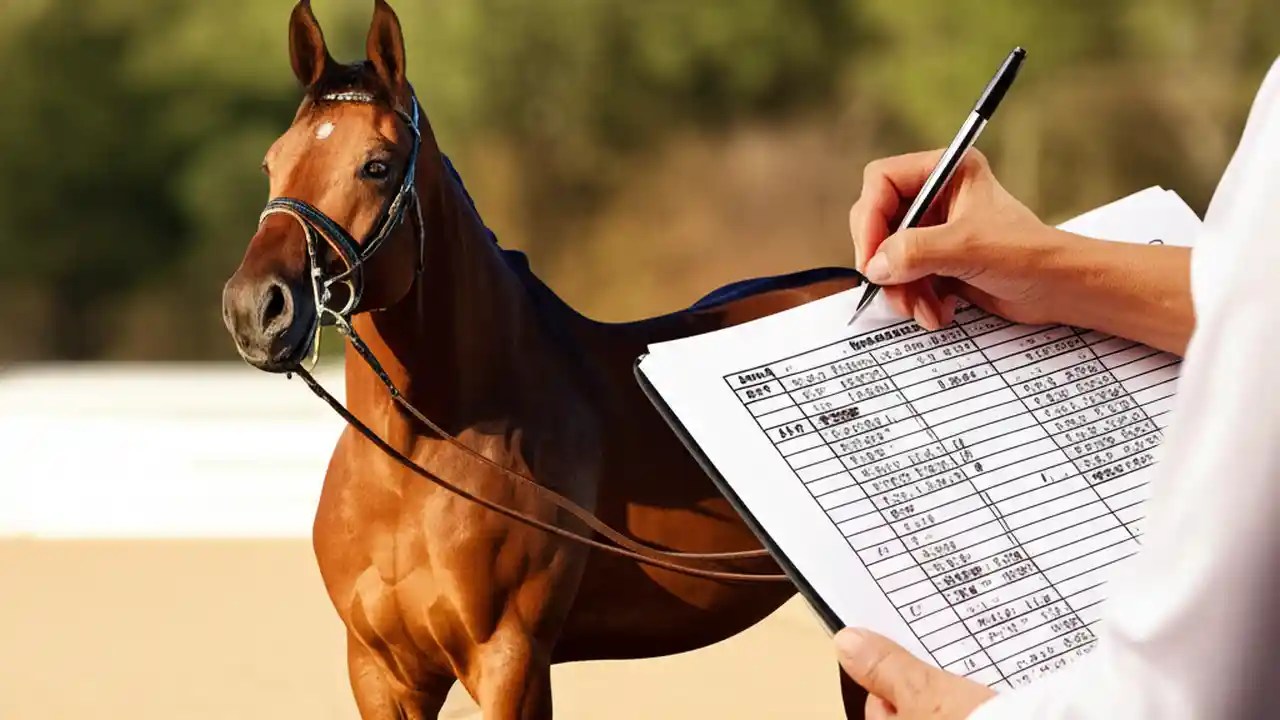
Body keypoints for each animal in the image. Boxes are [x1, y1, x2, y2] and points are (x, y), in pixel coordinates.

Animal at [221, 2, 868, 717]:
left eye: (377, 165)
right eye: (272, 163)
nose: (256, 309)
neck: (422, 453)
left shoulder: (511, 662)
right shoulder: (380, 673)